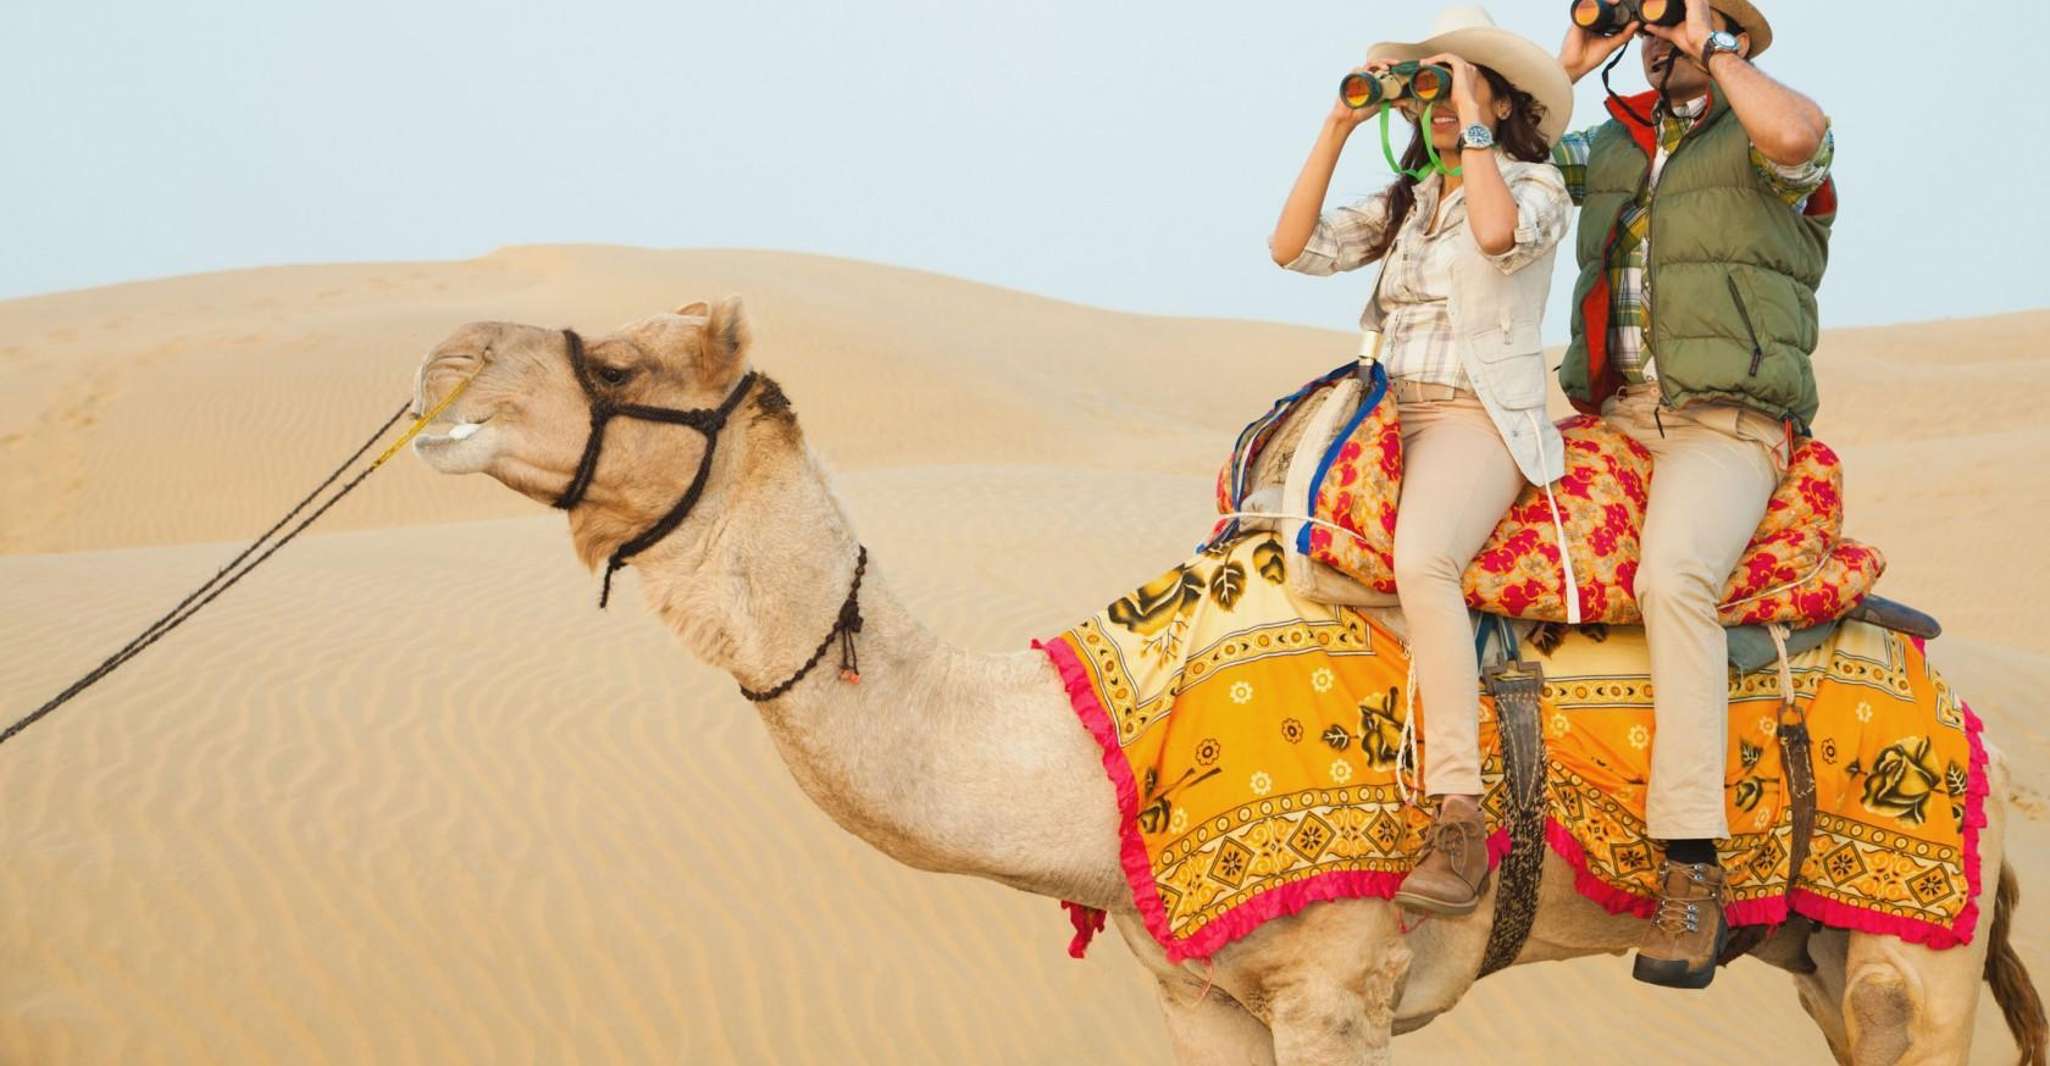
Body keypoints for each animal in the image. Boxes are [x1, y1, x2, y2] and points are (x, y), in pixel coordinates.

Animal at [408, 299, 2046, 1066]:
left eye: (620, 359)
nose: (442, 361)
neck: (1090, 750)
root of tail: (1962, 714)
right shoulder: (1198, 997)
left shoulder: (1338, 987)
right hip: (1826, 957)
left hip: (1918, 952)